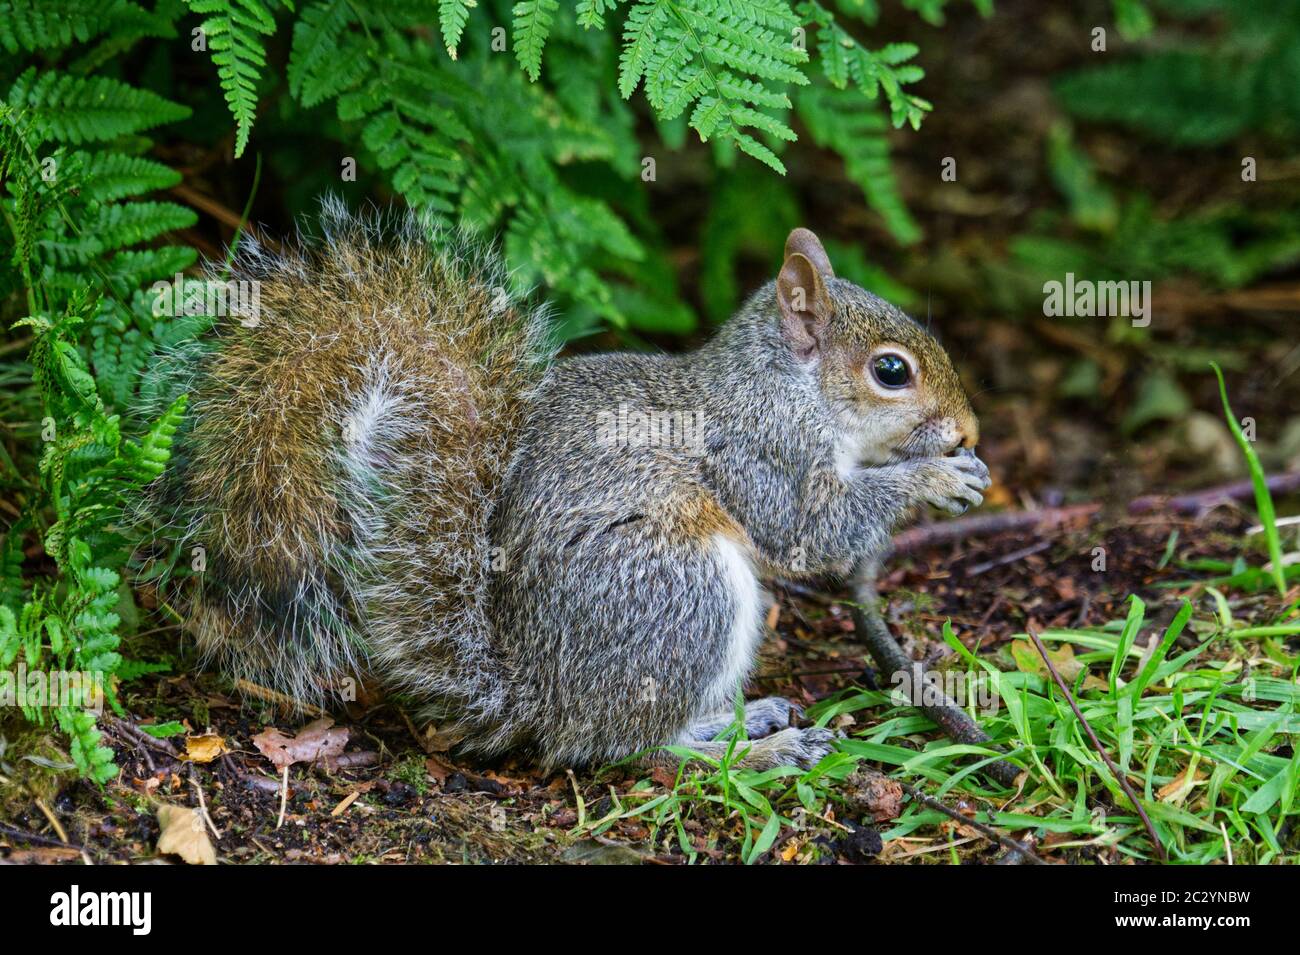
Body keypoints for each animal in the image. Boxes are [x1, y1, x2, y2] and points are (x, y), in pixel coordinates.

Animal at [154, 199, 990, 771]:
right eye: (891, 371)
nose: (969, 429)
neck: (785, 387)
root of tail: (534, 696)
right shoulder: (757, 455)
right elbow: (809, 531)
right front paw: (936, 476)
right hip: (682, 588)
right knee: (630, 747)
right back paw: (756, 748)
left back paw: (744, 720)